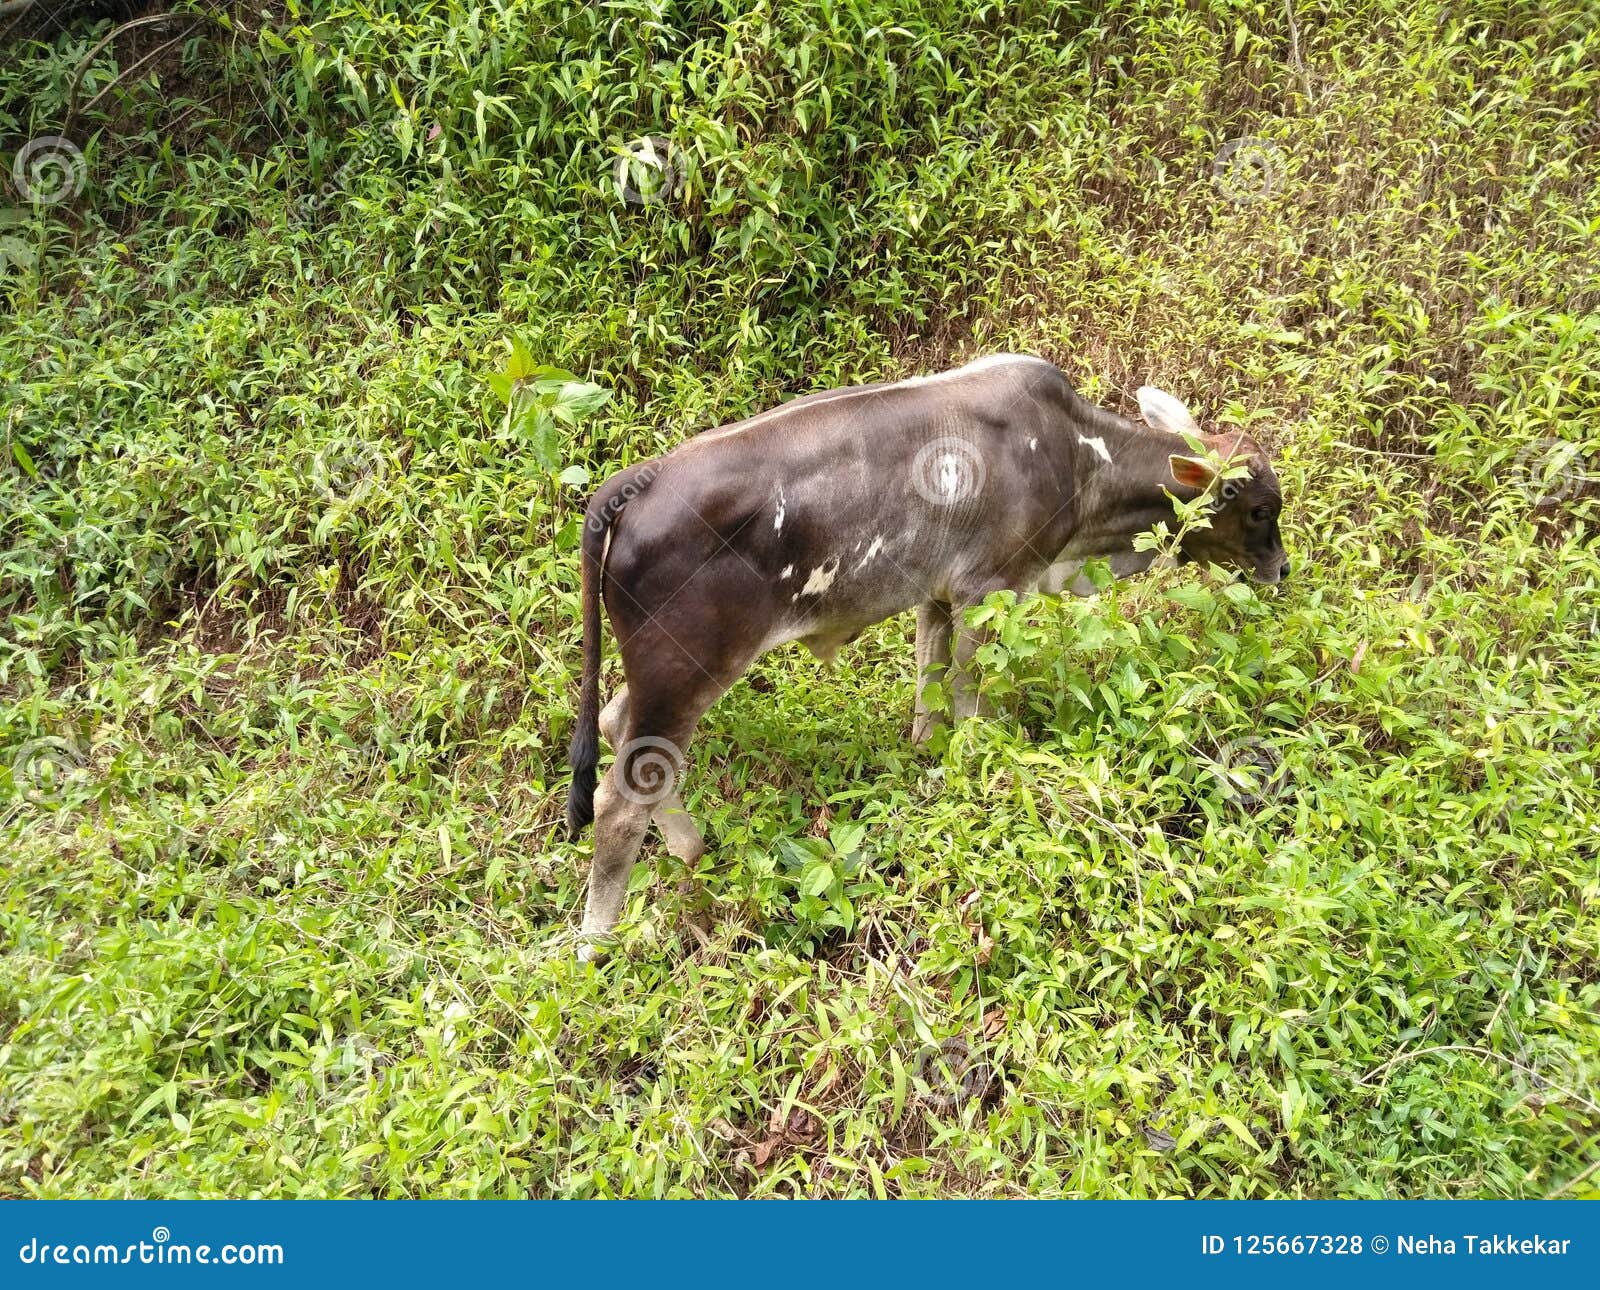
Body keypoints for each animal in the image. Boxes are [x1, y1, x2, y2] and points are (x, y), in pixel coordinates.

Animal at [564, 354, 1289, 958]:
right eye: (1258, 508)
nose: (1282, 570)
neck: (1083, 464)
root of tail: (636, 481)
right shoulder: (988, 588)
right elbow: (968, 702)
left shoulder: (935, 595)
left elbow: (928, 685)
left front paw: (925, 759)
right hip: (684, 670)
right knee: (623, 796)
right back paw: (596, 942)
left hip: (663, 674)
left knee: (619, 729)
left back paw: (690, 851)